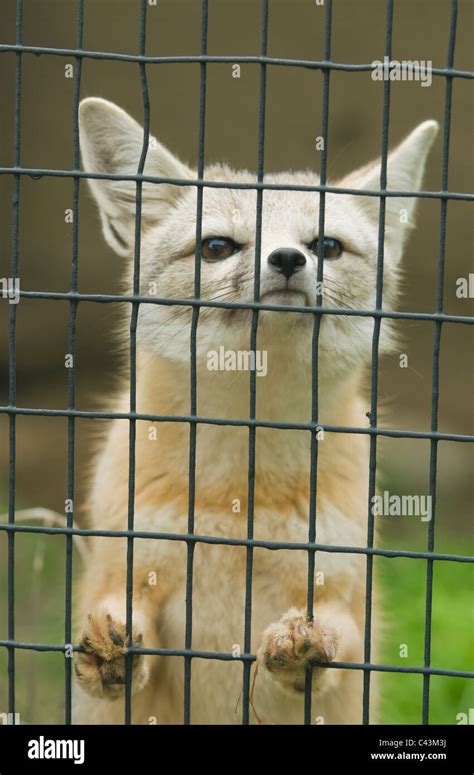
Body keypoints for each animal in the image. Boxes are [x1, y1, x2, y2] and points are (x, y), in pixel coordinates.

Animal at [73, 97, 438, 724]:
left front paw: (307, 643)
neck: (238, 498)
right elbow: (120, 623)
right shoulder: (128, 571)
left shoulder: (338, 600)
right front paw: (108, 648)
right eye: (218, 246)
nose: (288, 258)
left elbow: (331, 639)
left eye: (326, 247)